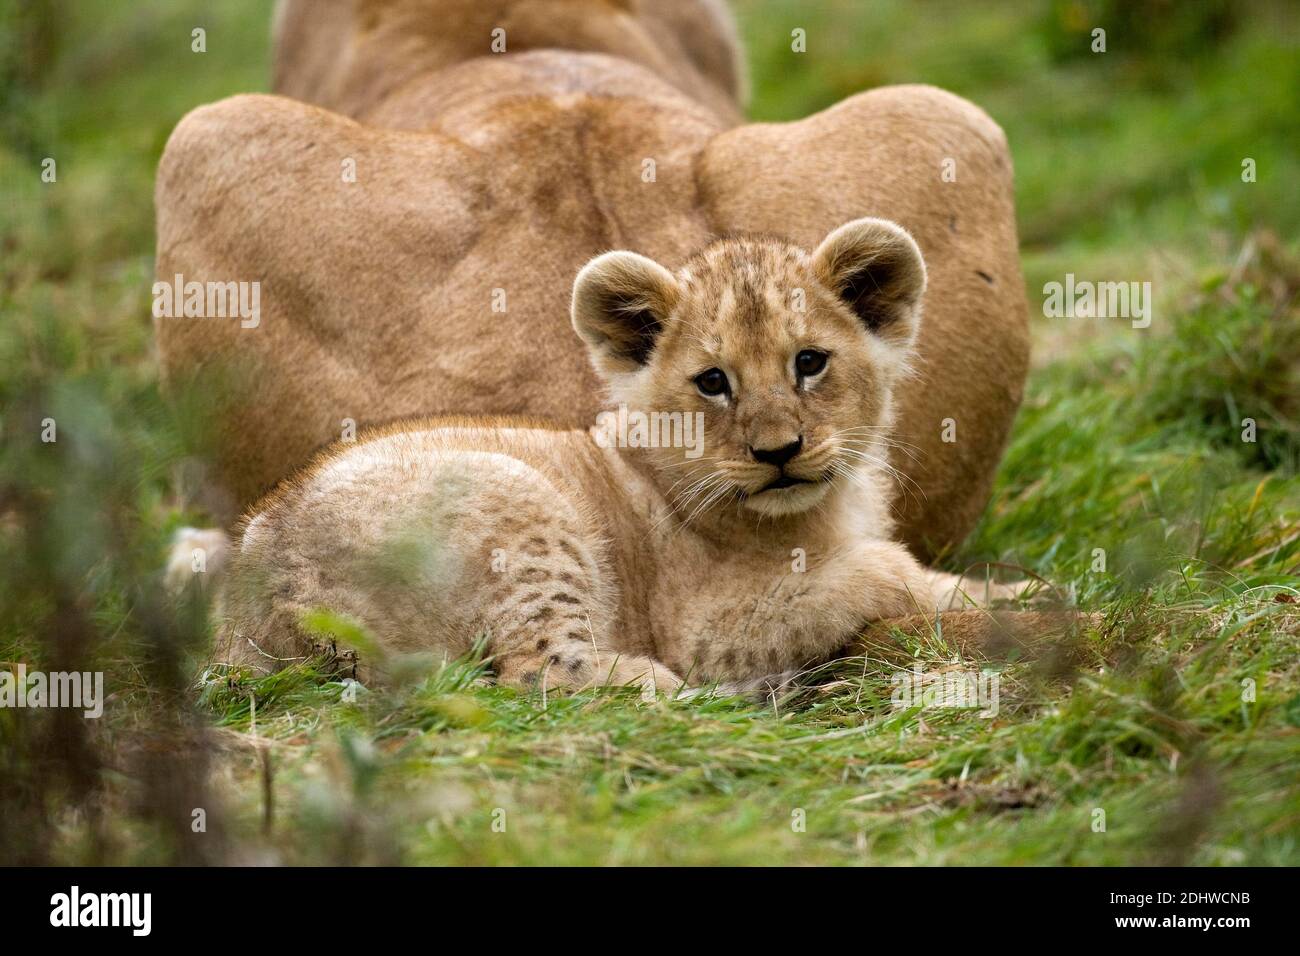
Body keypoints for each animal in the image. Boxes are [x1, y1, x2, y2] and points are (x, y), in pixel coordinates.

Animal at [211, 218, 1025, 692]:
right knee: (538, 671)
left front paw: (1018, 592)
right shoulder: (709, 628)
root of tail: (263, 587)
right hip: (514, 497)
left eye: (810, 363)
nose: (779, 452)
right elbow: (885, 571)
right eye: (713, 381)